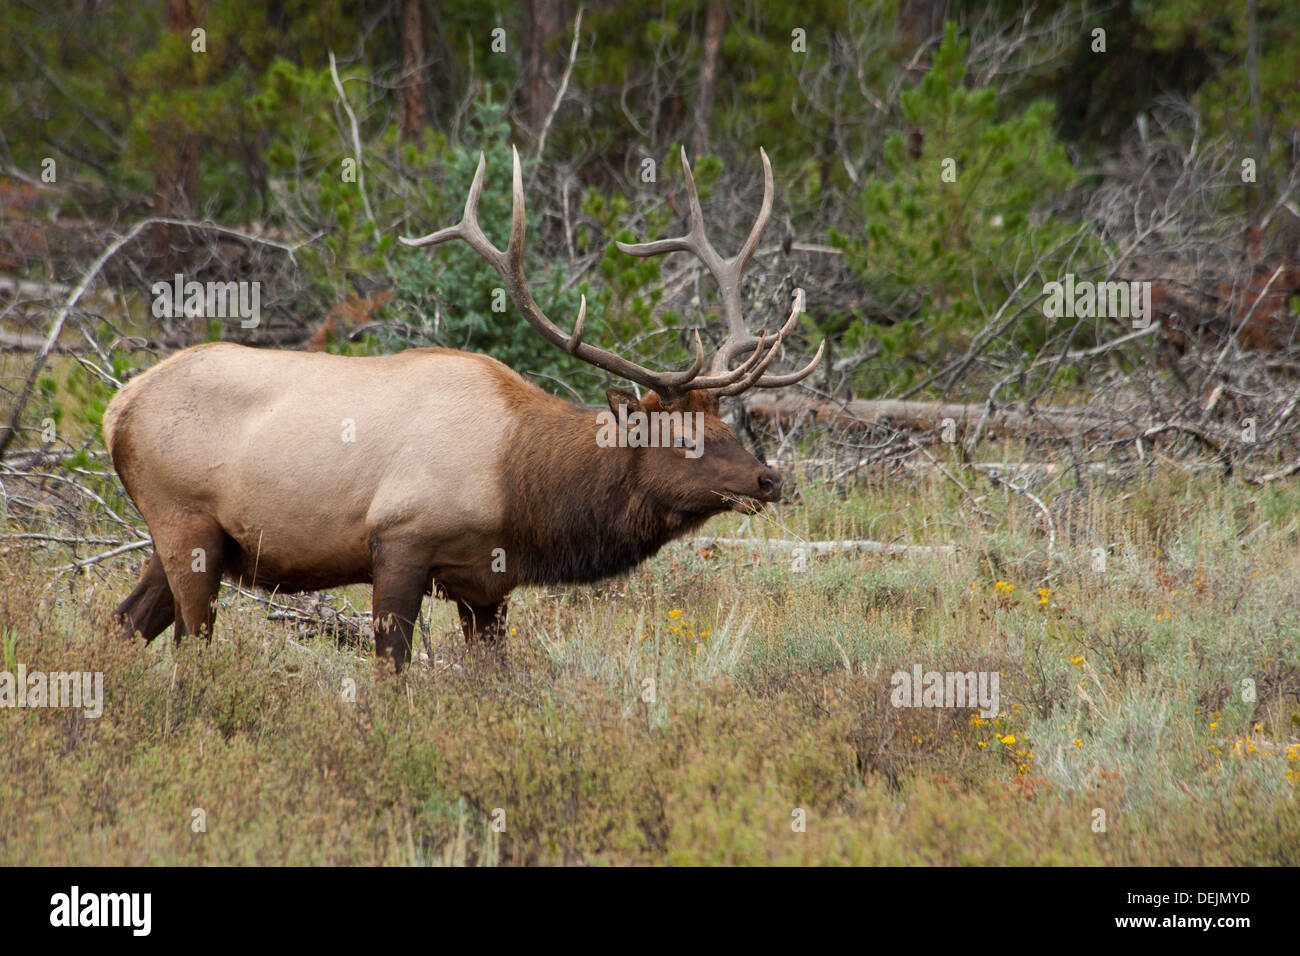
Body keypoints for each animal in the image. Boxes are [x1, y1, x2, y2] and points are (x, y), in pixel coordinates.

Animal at [104, 146, 823, 670]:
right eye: (682, 438)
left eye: (724, 424)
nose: (770, 478)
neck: (521, 491)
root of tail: (117, 407)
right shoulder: (400, 540)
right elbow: (393, 671)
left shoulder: (487, 585)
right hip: (184, 521)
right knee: (189, 645)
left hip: (187, 537)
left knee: (124, 622)